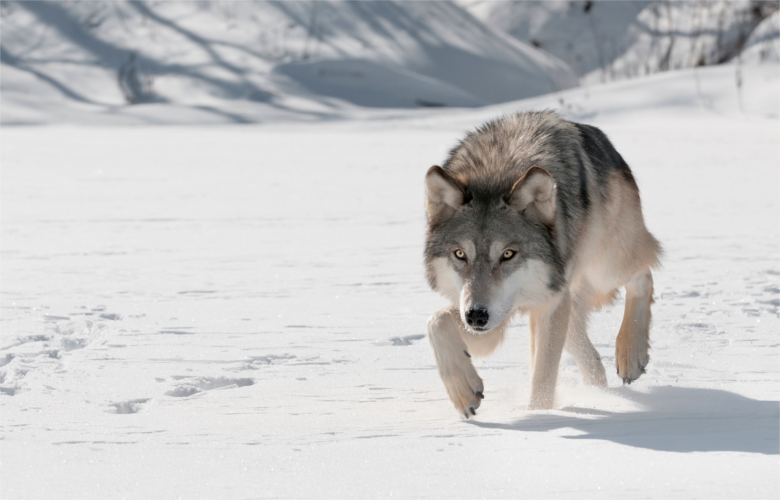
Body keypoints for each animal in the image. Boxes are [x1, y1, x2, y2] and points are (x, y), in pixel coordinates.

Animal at [424, 111, 661, 417]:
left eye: (508, 254)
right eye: (460, 254)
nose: (476, 316)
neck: (497, 171)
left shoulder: (545, 303)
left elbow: (543, 376)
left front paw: (538, 416)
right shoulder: (493, 318)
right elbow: (436, 322)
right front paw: (463, 391)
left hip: (605, 268)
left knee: (644, 274)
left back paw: (630, 355)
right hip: (563, 299)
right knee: (589, 354)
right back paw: (598, 391)